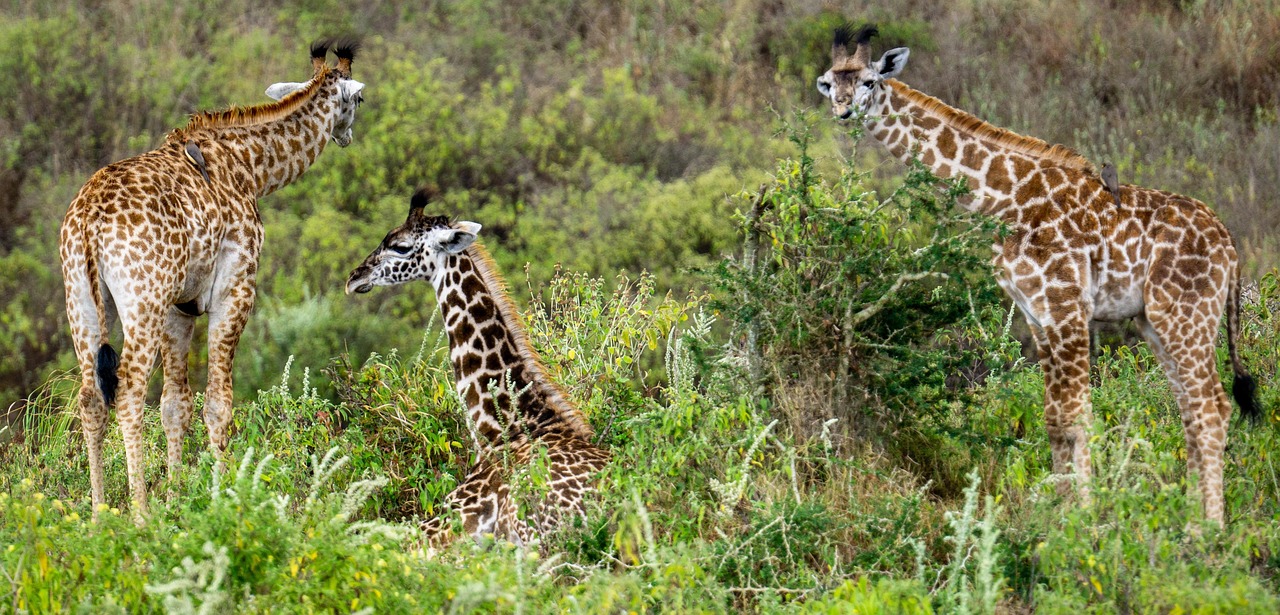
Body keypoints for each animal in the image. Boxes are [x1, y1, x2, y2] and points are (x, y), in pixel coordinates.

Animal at [60, 40, 366, 519]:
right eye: (361, 100)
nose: (347, 136)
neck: (251, 168)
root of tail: (89, 221)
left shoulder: (178, 307)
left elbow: (175, 404)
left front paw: (176, 497)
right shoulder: (235, 289)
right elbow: (218, 403)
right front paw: (223, 498)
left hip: (82, 300)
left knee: (91, 397)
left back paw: (97, 516)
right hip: (141, 301)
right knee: (127, 391)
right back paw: (140, 515)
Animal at [816, 24, 1261, 523]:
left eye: (870, 81)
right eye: (828, 84)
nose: (843, 111)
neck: (1004, 199)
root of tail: (1230, 245)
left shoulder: (1066, 305)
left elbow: (1076, 415)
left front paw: (1084, 520)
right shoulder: (1036, 312)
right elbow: (1052, 418)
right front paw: (1062, 514)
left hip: (1185, 314)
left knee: (1211, 406)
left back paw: (1208, 529)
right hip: (1156, 322)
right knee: (1190, 406)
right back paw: (1191, 519)